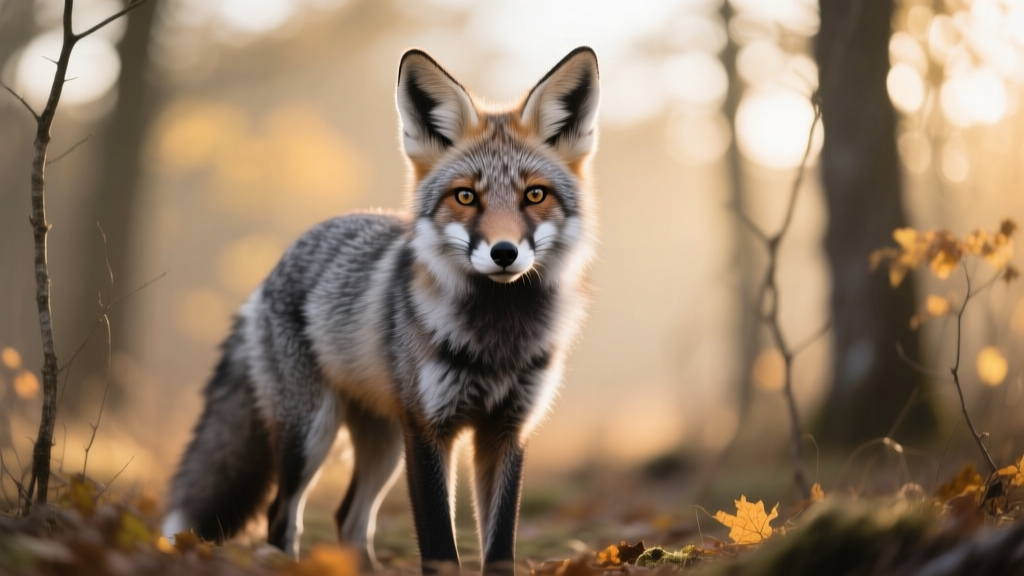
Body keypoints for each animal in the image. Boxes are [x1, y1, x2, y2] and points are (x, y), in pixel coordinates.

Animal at [161, 47, 599, 575]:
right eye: (466, 196)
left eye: (534, 194)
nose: (504, 253)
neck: (497, 341)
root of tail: (274, 269)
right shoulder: (429, 430)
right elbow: (440, 549)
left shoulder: (507, 431)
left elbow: (498, 553)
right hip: (312, 434)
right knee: (281, 515)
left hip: (384, 446)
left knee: (348, 518)